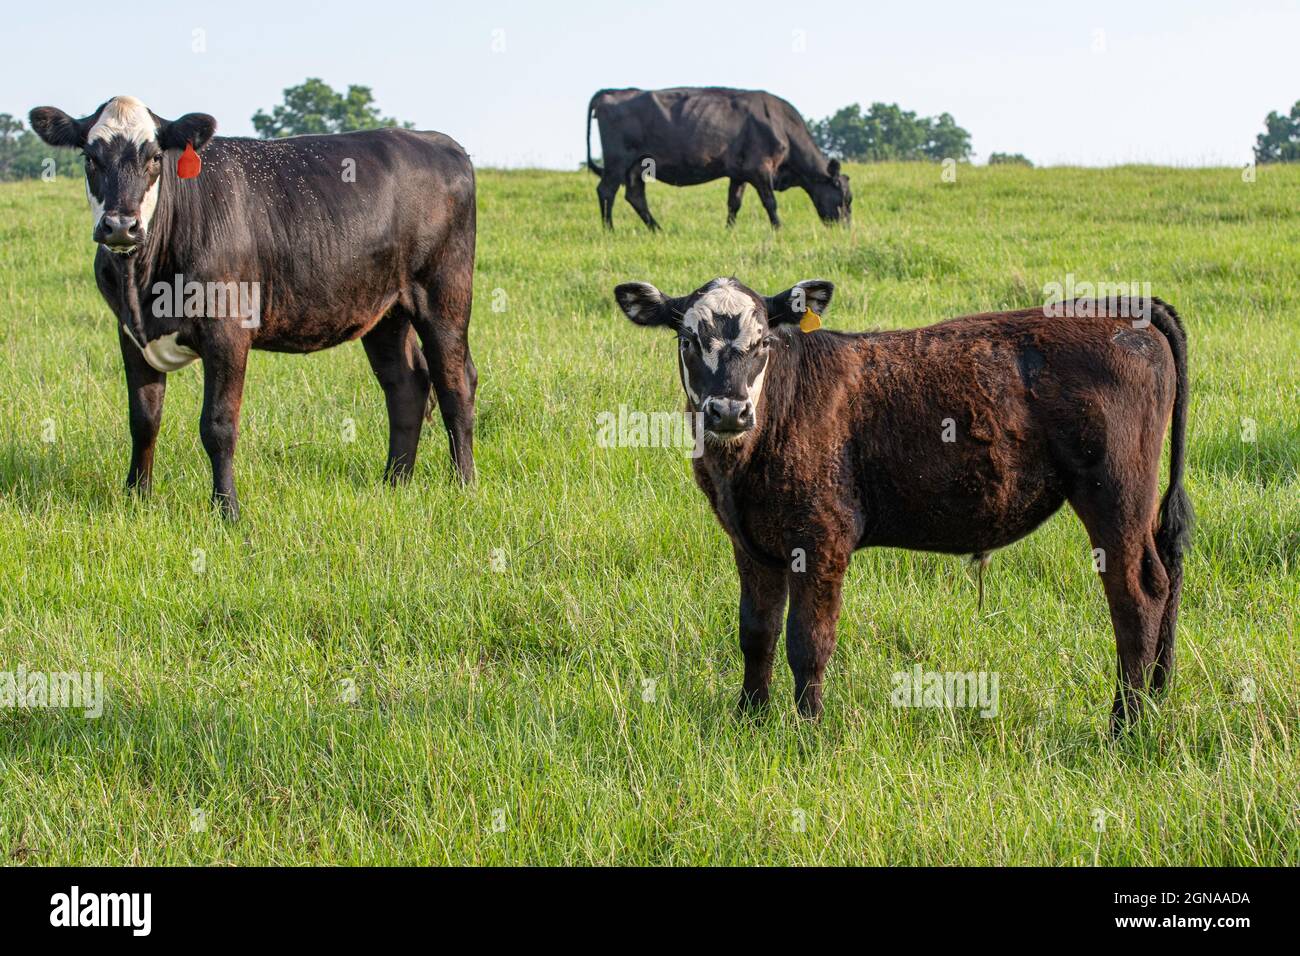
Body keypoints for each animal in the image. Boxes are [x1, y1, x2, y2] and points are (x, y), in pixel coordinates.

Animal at [28, 95, 477, 520]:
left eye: (155, 157)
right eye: (90, 157)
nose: (121, 225)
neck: (143, 284)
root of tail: (439, 142)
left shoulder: (227, 331)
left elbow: (218, 425)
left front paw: (226, 510)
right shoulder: (129, 332)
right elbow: (143, 419)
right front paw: (136, 497)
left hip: (444, 294)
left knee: (455, 382)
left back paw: (463, 484)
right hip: (385, 311)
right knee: (406, 384)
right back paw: (395, 481)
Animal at [586, 87, 851, 231]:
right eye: (845, 198)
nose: (845, 227)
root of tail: (612, 92)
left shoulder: (740, 173)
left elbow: (734, 202)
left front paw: (729, 229)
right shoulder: (760, 167)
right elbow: (770, 202)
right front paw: (778, 228)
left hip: (637, 165)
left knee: (635, 196)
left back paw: (657, 229)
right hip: (617, 160)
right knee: (606, 191)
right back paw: (609, 229)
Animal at [613, 277, 1192, 735]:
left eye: (763, 341)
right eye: (689, 338)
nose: (729, 411)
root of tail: (1122, 305)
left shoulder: (822, 538)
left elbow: (808, 641)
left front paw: (807, 731)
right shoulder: (751, 543)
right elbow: (756, 634)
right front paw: (749, 721)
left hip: (1115, 494)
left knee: (1137, 595)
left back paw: (1123, 726)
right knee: (1165, 576)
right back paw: (1155, 701)